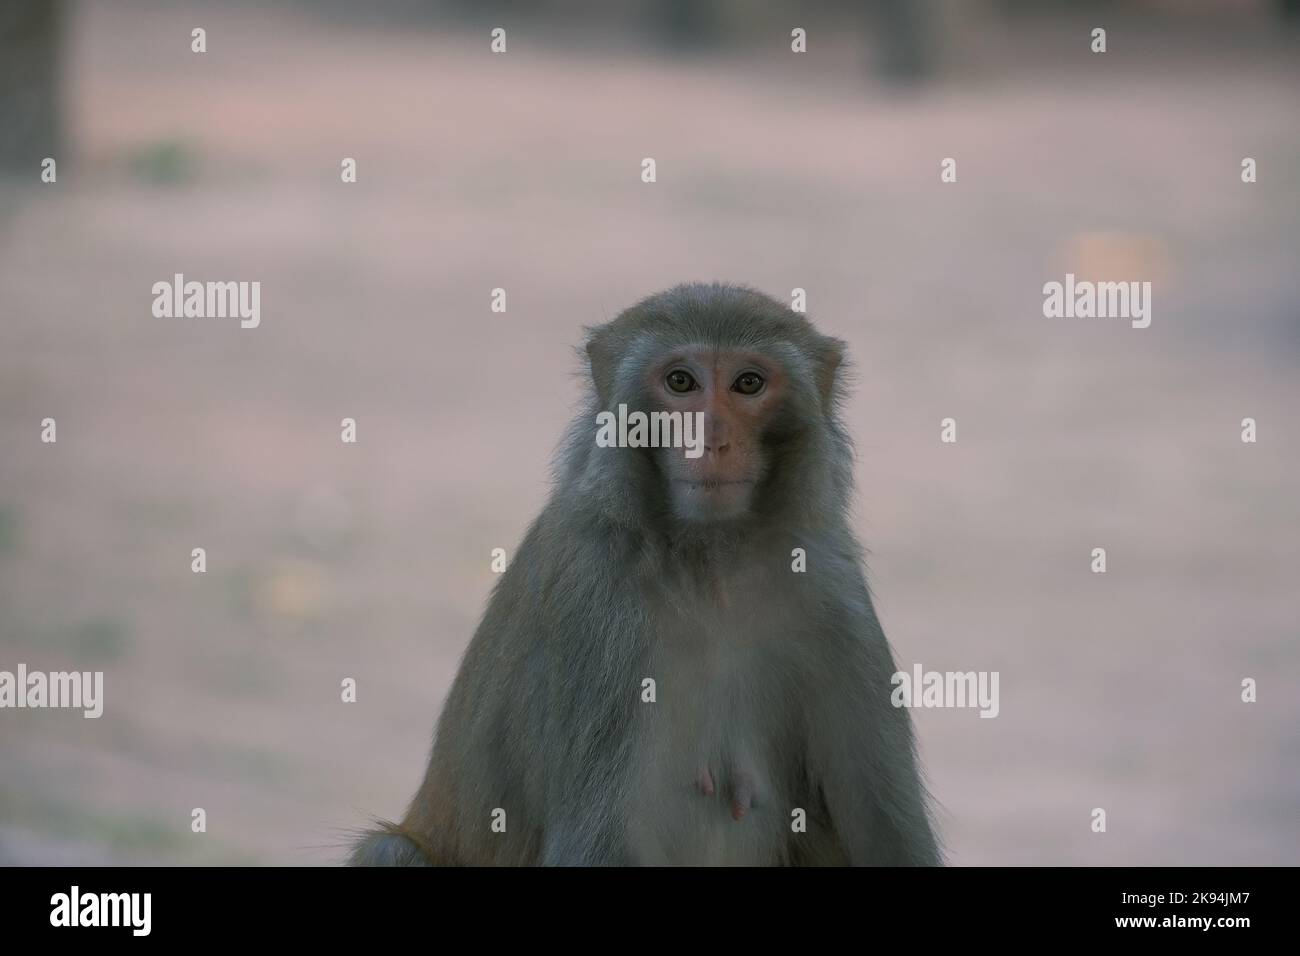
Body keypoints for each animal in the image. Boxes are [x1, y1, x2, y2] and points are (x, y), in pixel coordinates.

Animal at [350, 282, 941, 866]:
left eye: (748, 383)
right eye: (680, 382)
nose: (711, 438)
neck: (711, 565)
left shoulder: (831, 590)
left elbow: (888, 839)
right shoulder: (594, 598)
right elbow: (593, 845)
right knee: (390, 850)